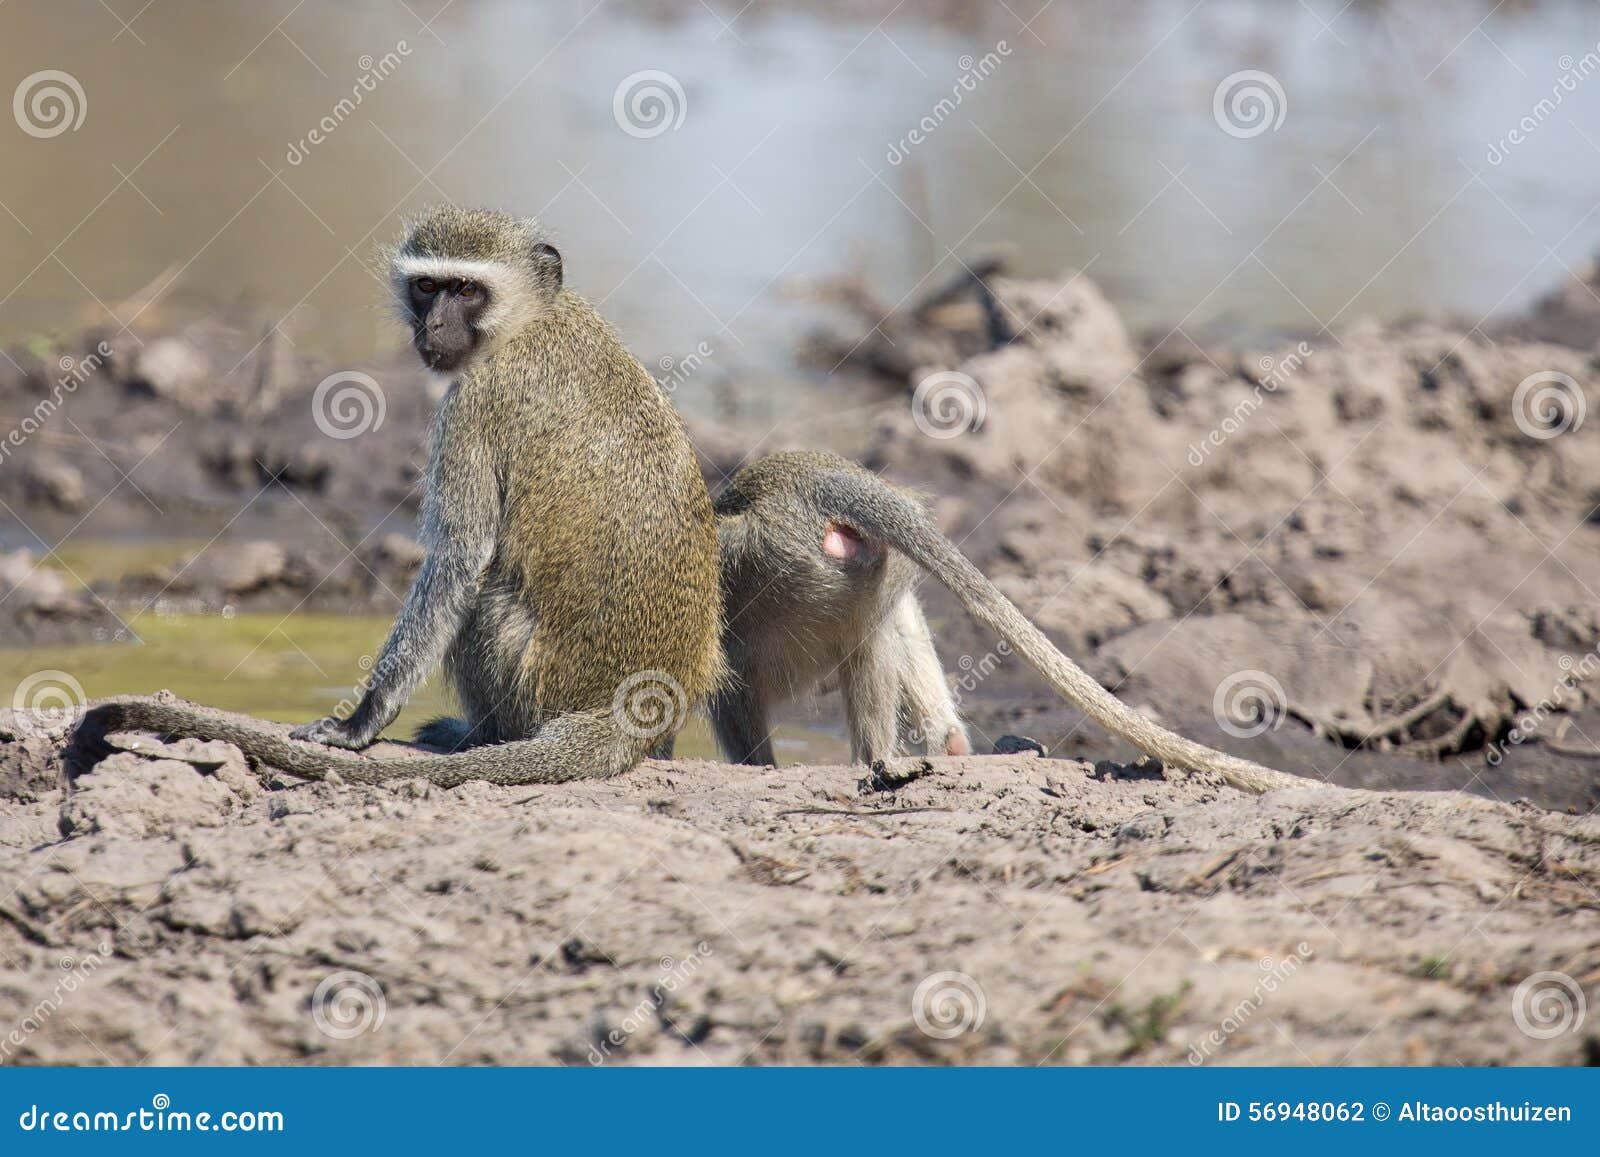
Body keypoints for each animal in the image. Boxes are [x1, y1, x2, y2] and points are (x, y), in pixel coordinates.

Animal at [77, 205, 724, 788]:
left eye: (467, 291)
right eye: (428, 287)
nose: (433, 327)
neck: (531, 321)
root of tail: (628, 713)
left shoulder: (472, 405)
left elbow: (460, 559)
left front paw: (361, 720)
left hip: (535, 680)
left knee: (479, 597)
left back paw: (484, 736)